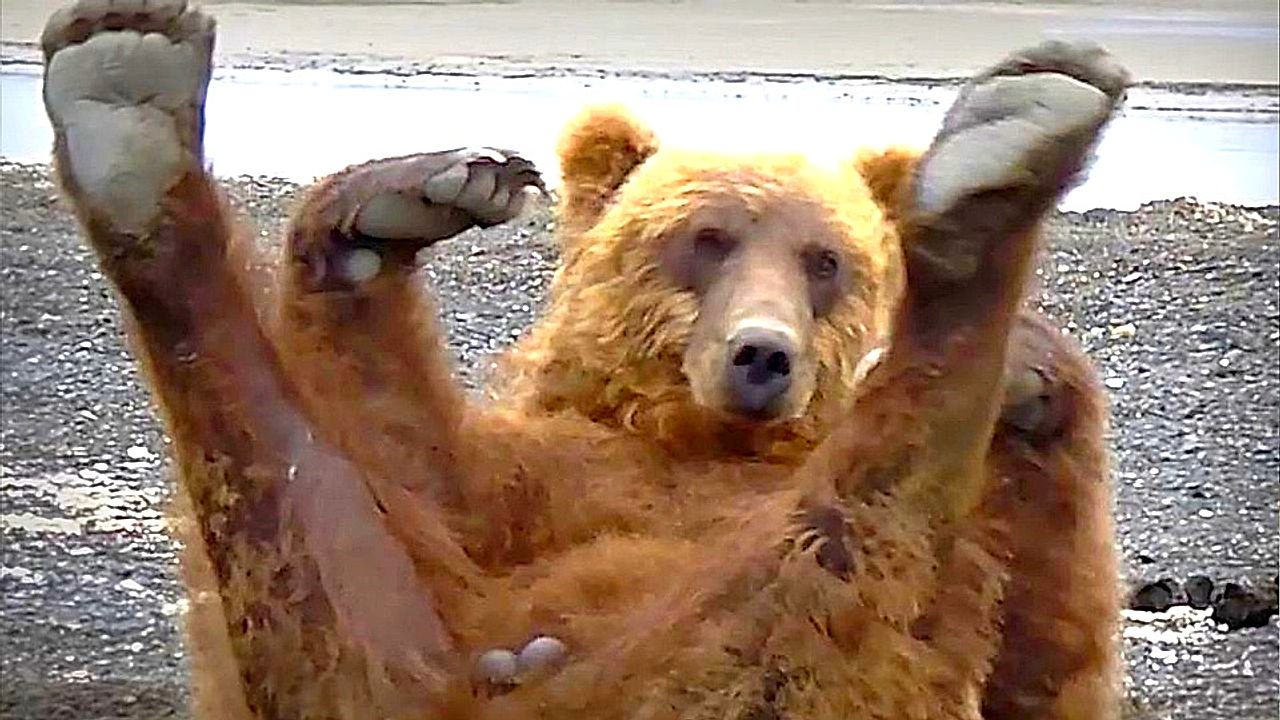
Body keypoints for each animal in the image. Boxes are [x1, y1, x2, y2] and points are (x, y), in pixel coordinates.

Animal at [38, 0, 1127, 718]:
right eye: (708, 239)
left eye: (823, 260)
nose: (762, 355)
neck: (704, 442)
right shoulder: (539, 471)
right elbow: (425, 477)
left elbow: (1041, 664)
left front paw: (1034, 377)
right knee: (323, 551)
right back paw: (150, 127)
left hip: (724, 677)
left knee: (821, 585)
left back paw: (987, 199)